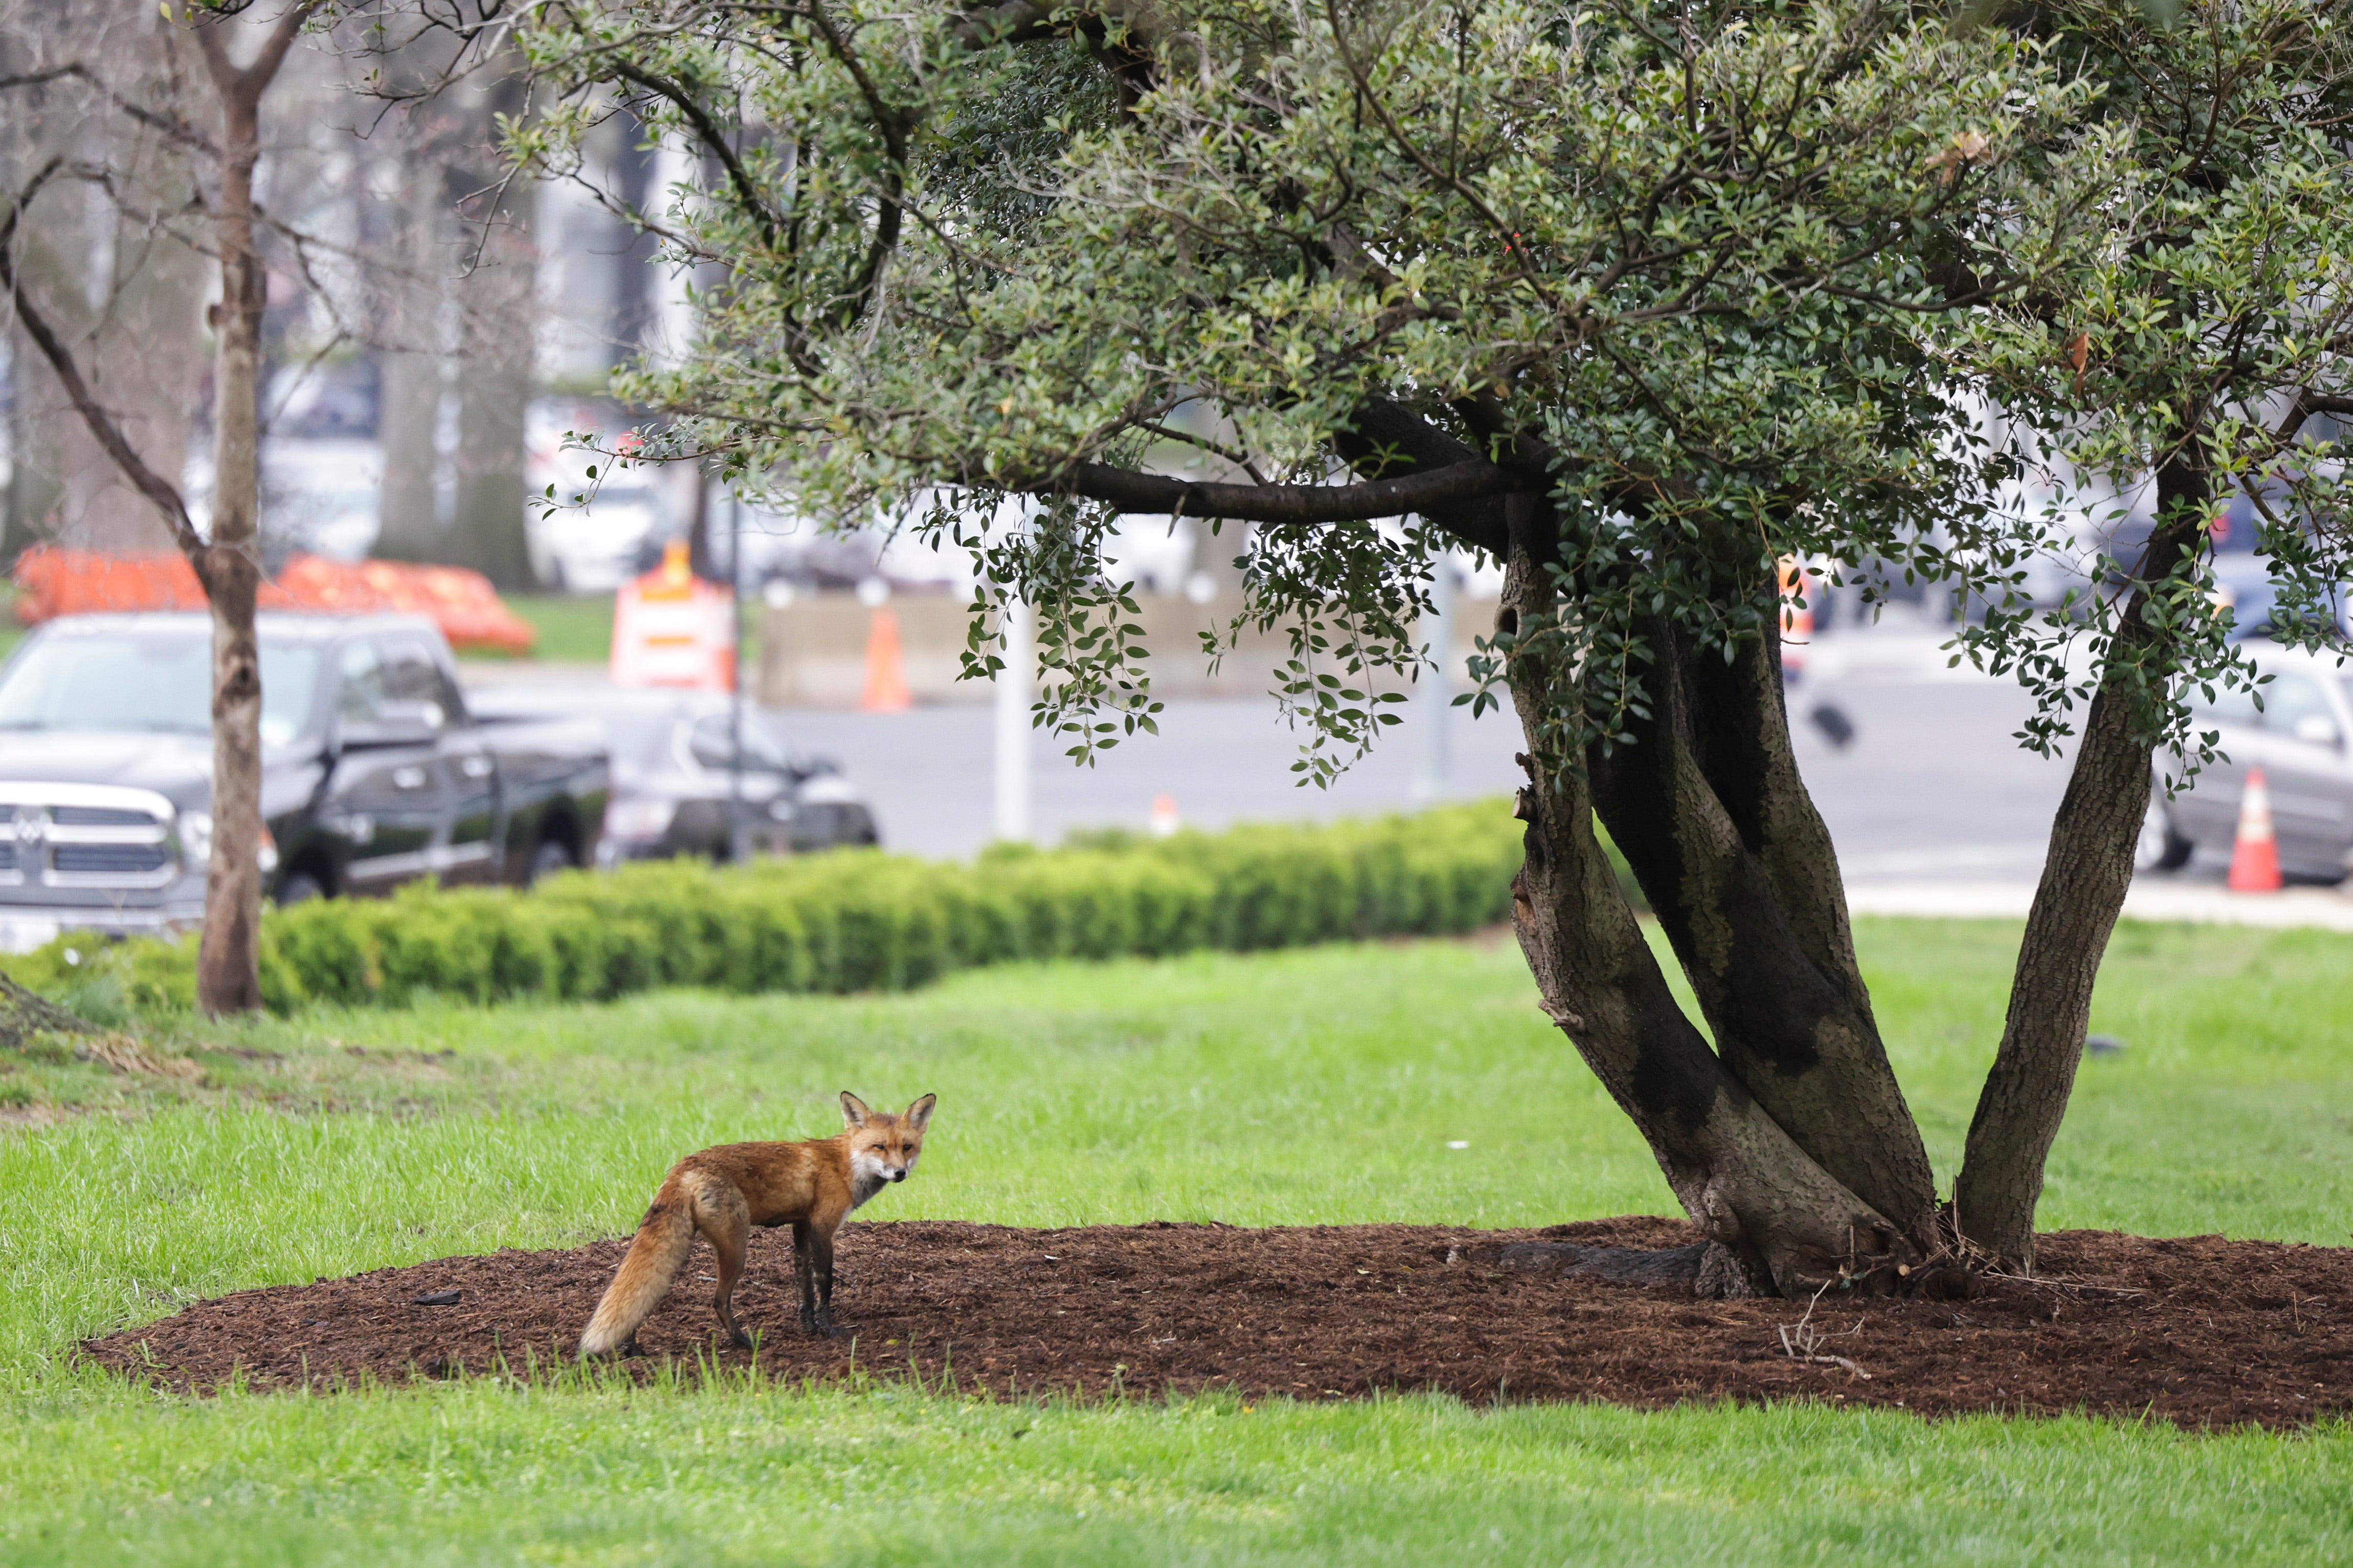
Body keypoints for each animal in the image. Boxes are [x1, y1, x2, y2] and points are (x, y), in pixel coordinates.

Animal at [578, 1091, 936, 1358]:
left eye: (907, 1147)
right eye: (879, 1147)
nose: (900, 1173)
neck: (845, 1166)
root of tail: (684, 1166)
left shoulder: (801, 1228)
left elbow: (803, 1287)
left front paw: (808, 1328)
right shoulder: (823, 1229)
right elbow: (825, 1285)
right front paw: (830, 1330)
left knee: (640, 1297)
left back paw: (632, 1349)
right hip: (736, 1248)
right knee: (718, 1301)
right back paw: (743, 1343)